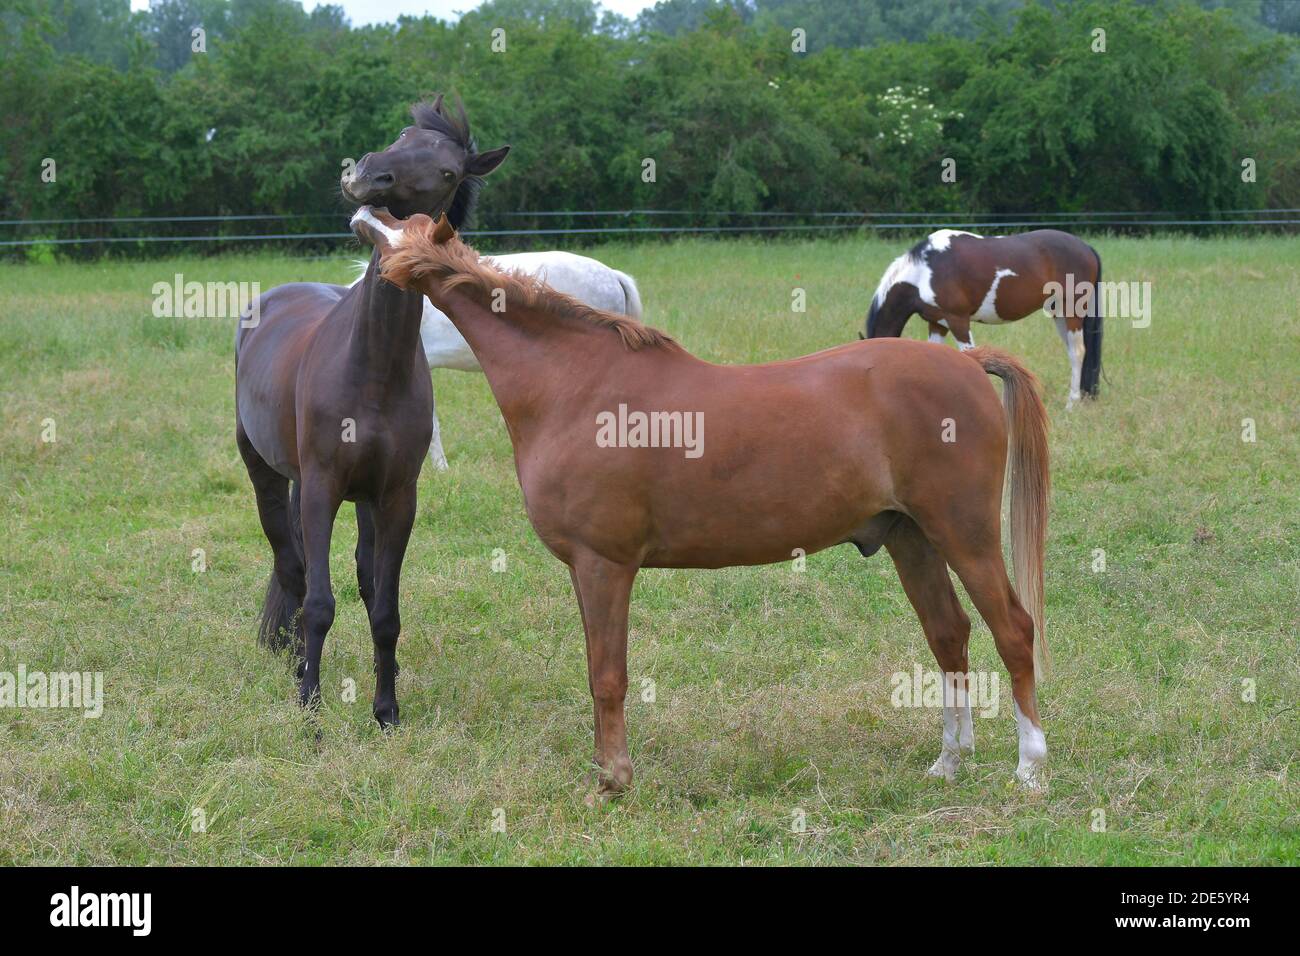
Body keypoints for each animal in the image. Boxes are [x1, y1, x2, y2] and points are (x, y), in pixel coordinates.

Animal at [234, 99, 508, 724]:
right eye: (403, 134)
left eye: (449, 170)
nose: (364, 175)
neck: (372, 366)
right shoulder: (320, 489)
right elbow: (317, 600)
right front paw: (310, 708)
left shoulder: (396, 497)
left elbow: (384, 607)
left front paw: (387, 709)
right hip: (265, 472)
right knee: (292, 568)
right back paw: (294, 666)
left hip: (360, 498)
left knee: (357, 575)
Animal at [863, 229, 1103, 408]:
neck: (924, 271)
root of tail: (1086, 247)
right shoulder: (937, 324)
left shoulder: (958, 320)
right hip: (1058, 312)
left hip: (1071, 310)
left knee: (1077, 351)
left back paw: (1072, 403)